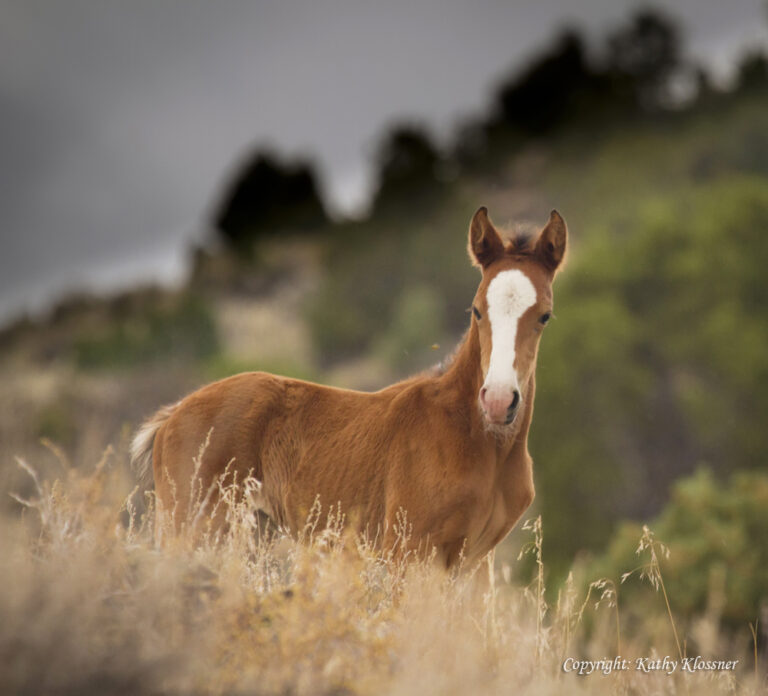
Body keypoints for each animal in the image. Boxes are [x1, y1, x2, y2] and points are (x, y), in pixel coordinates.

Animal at [131, 207, 567, 567]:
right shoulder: (407, 551)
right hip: (192, 526)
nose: (497, 401)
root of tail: (171, 416)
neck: (480, 439)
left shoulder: (473, 563)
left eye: (545, 316)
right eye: (477, 310)